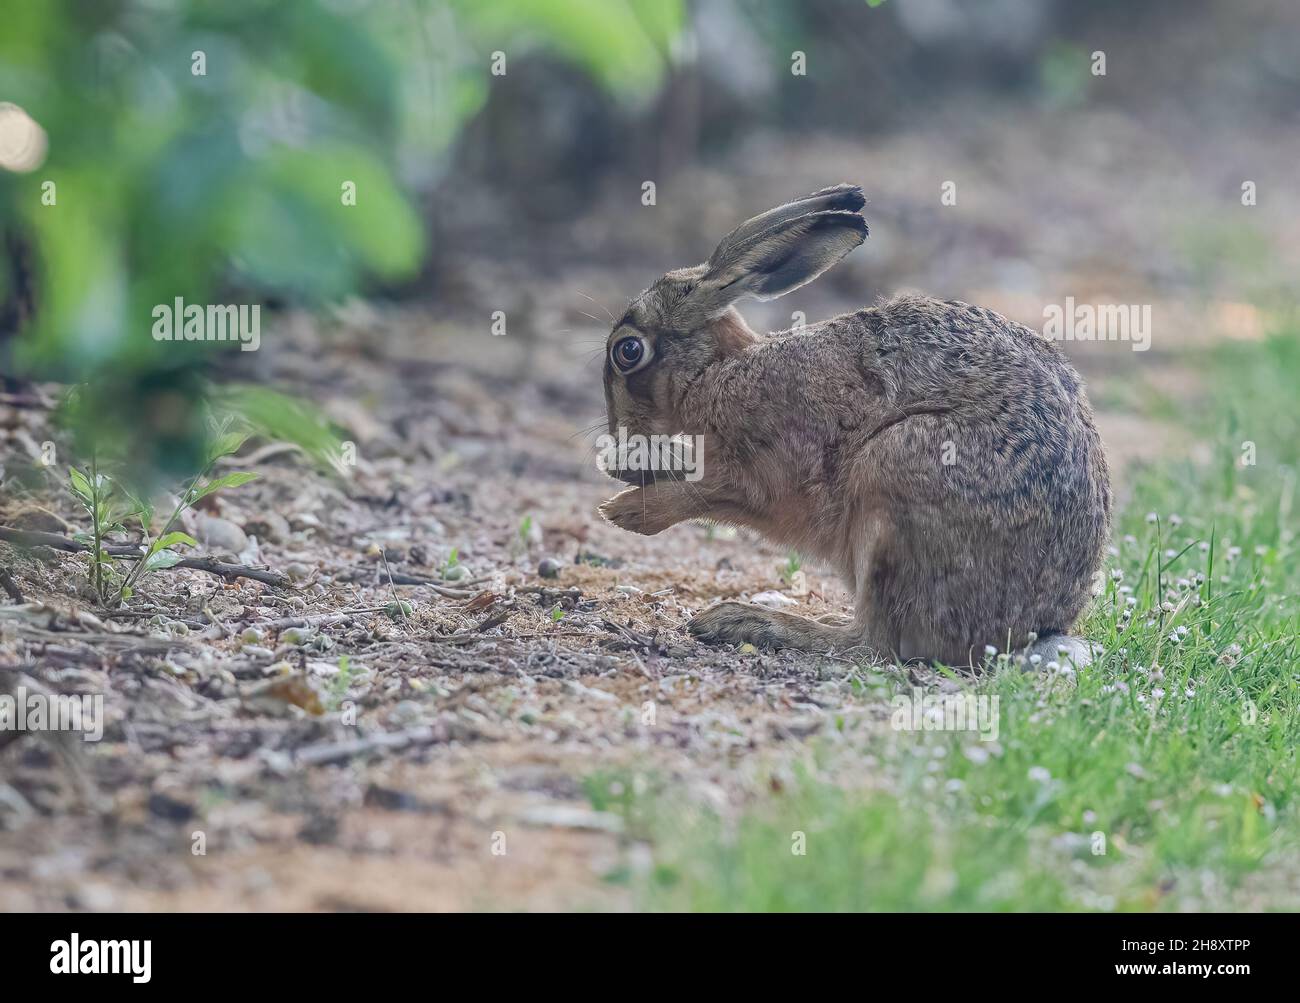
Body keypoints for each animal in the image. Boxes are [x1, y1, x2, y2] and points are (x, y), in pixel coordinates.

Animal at [597, 184, 1110, 667]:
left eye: (628, 351)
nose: (618, 446)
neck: (716, 370)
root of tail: (1033, 630)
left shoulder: (768, 472)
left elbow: (710, 493)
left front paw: (625, 512)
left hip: (895, 475)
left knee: (874, 645)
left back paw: (748, 621)